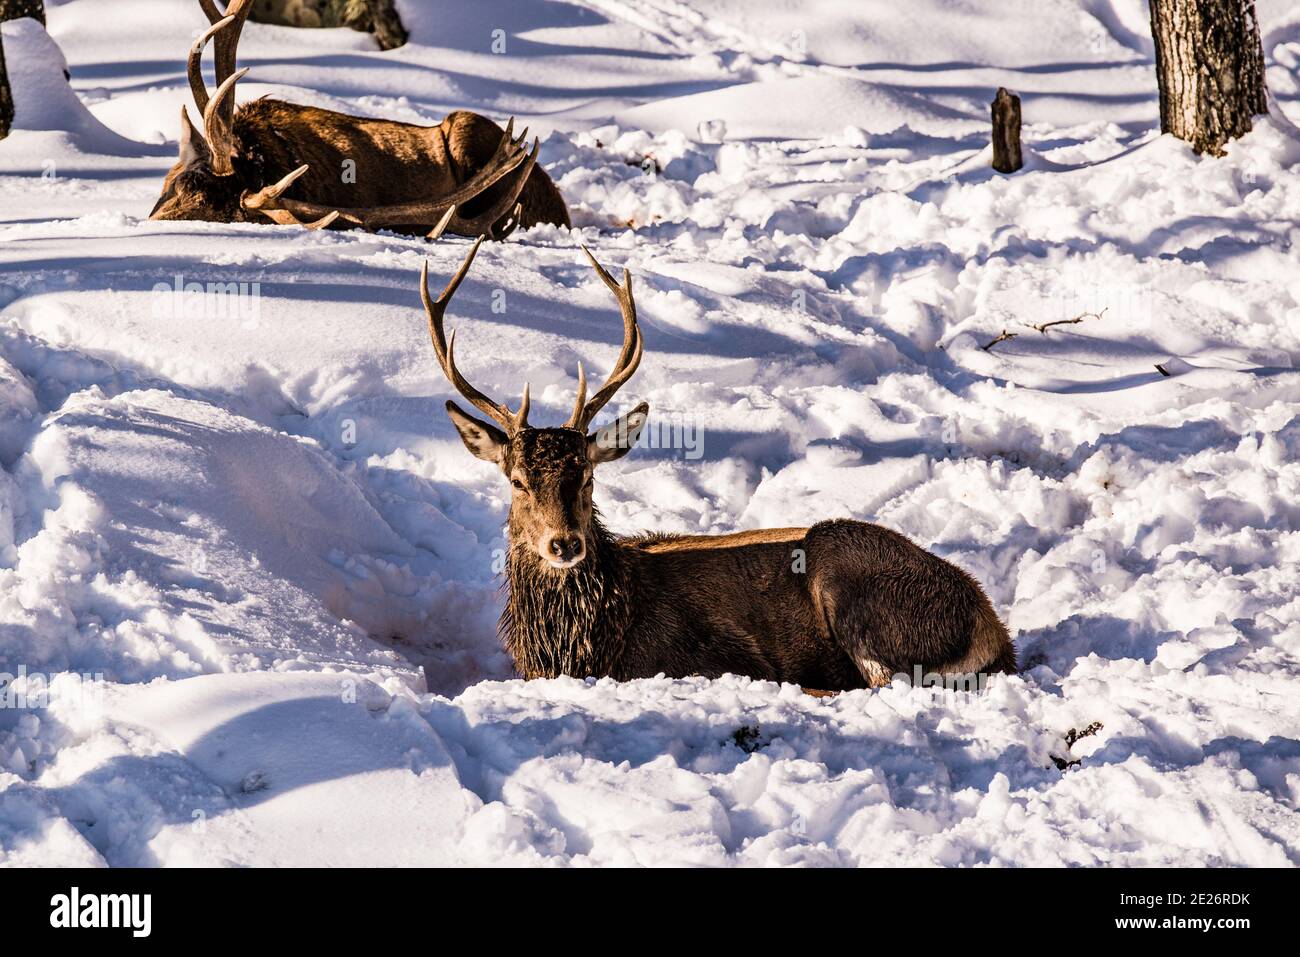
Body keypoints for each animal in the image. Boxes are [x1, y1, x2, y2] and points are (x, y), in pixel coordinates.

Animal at [420, 240, 1018, 692]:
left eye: (587, 477)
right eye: (518, 481)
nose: (564, 544)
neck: (583, 646)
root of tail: (993, 628)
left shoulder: (711, 655)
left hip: (844, 566)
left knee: (881, 682)